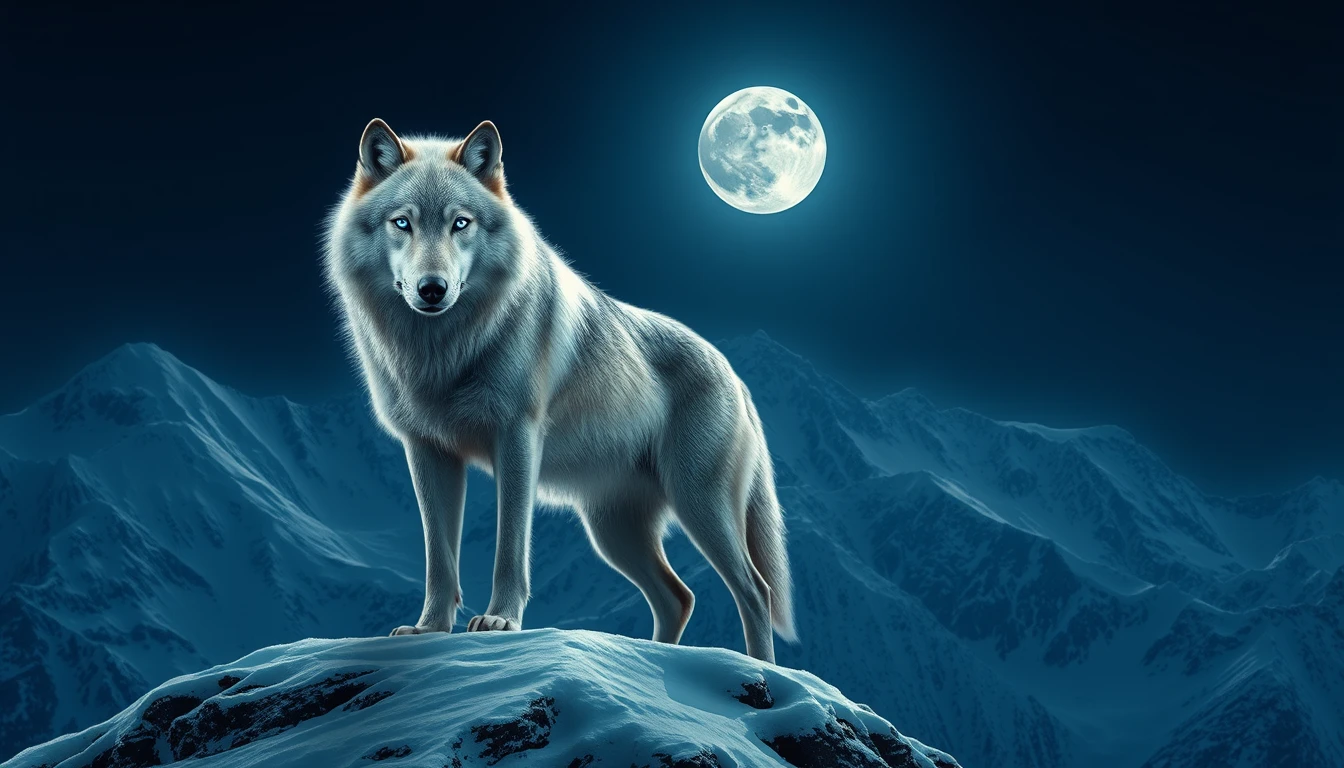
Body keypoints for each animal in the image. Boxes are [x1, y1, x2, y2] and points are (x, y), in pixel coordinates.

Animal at [323, 118, 794, 662]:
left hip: (700, 507)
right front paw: (430, 629)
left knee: (754, 590)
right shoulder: (426, 450)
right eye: (402, 223)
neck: (445, 352)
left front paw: (501, 620)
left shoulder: (517, 438)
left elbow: (509, 544)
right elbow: (439, 557)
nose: (432, 288)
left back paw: (760, 671)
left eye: (460, 224)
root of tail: (736, 378)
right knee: (679, 597)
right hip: (613, 532)